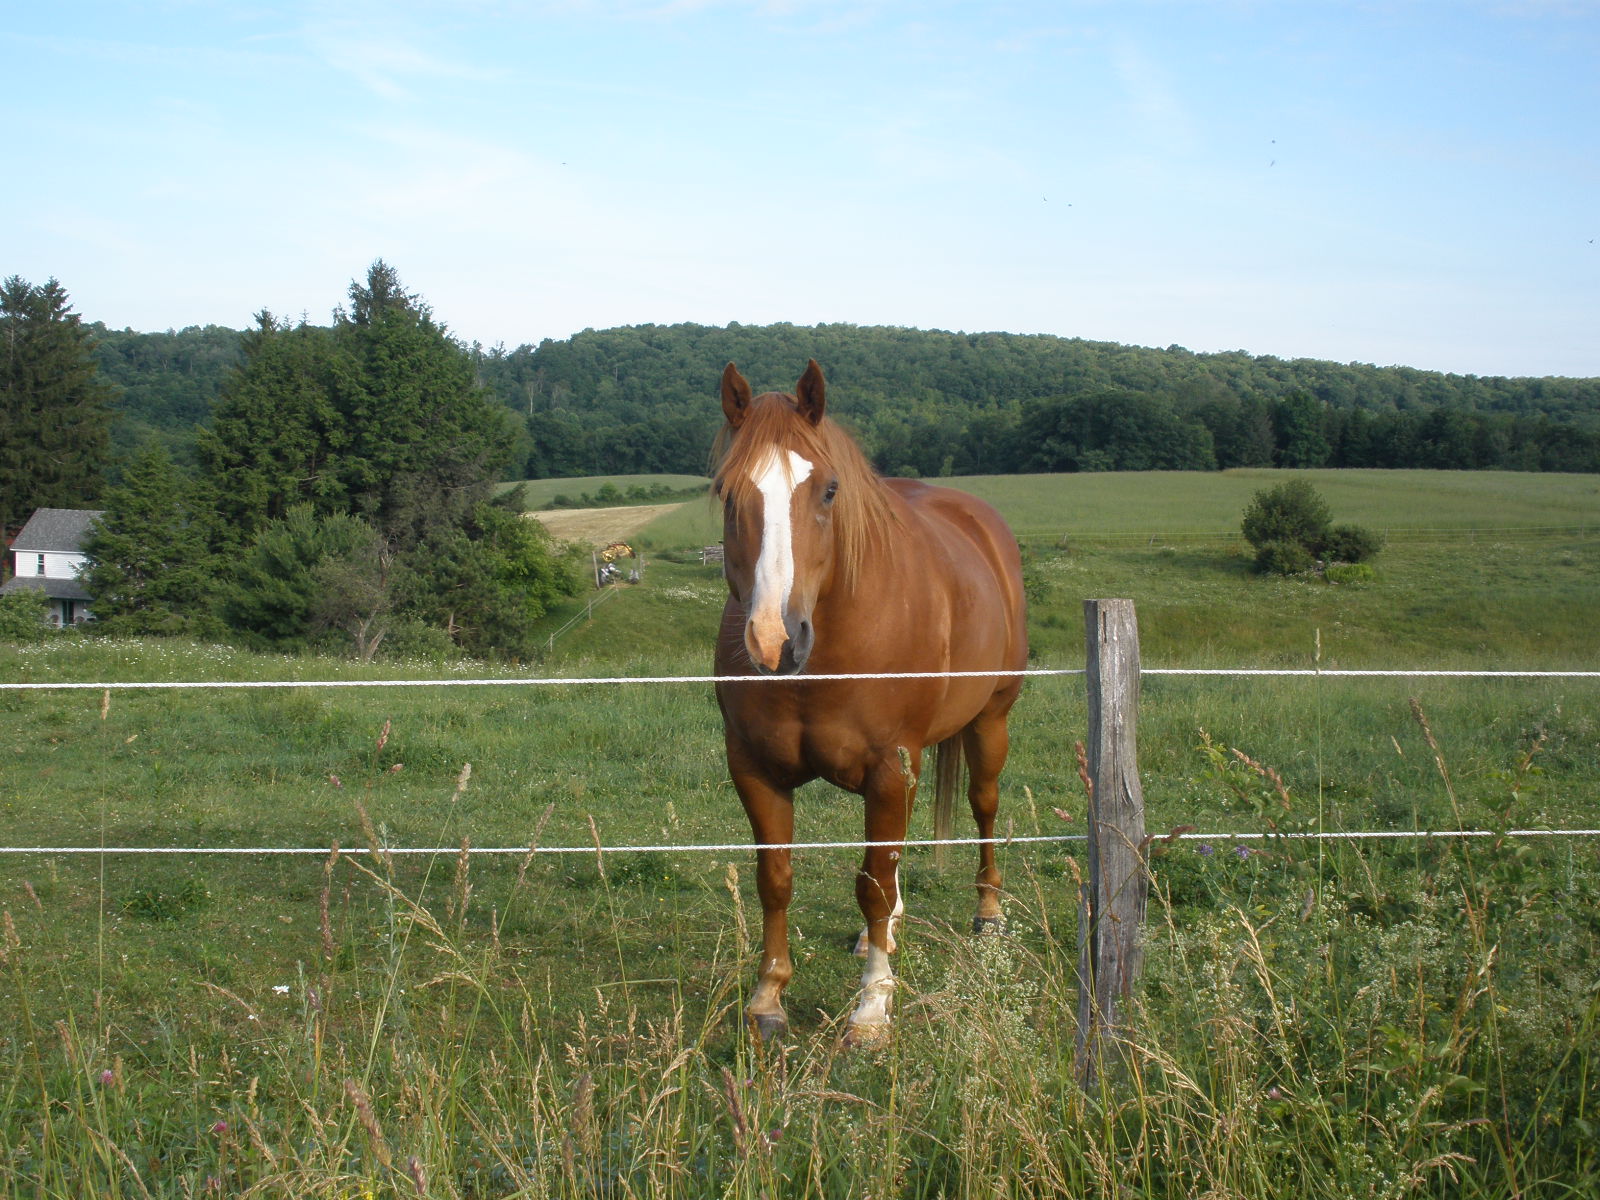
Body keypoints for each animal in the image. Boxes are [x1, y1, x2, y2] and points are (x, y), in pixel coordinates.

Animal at [712, 360, 1028, 1044]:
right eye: (725, 492)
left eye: (829, 491)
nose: (776, 641)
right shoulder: (754, 769)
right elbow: (776, 879)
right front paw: (768, 997)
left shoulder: (889, 767)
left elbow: (873, 883)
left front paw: (872, 1009)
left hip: (990, 721)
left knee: (984, 805)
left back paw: (988, 911)